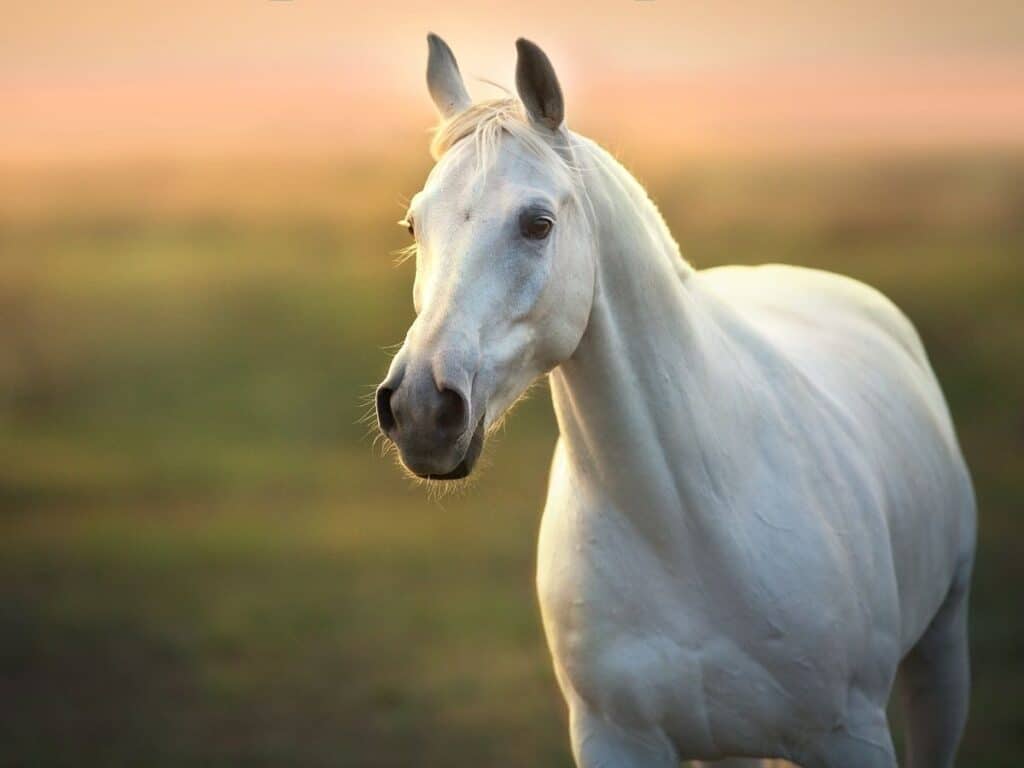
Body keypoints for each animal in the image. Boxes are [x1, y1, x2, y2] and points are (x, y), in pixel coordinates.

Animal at [374, 34, 976, 768]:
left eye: (537, 224)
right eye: (413, 226)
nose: (421, 409)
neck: (686, 520)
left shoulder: (850, 735)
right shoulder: (615, 739)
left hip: (941, 656)